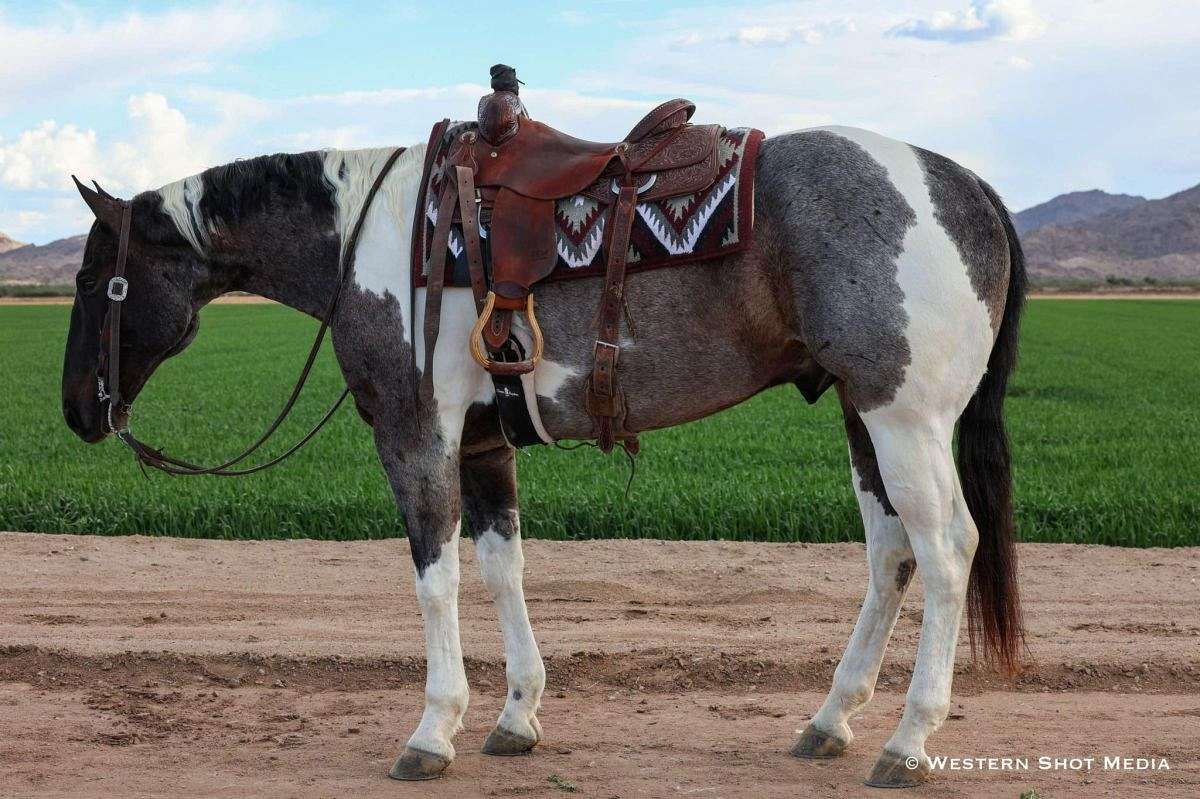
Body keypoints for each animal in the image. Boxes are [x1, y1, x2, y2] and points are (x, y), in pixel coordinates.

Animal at [61, 124, 1025, 788]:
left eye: (95, 280)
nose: (76, 410)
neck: (370, 241)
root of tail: (964, 182)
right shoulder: (485, 443)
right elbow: (503, 570)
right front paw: (516, 716)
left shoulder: (415, 431)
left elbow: (435, 577)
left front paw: (433, 729)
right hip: (866, 419)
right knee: (892, 555)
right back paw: (830, 719)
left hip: (907, 420)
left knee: (948, 553)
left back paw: (908, 740)